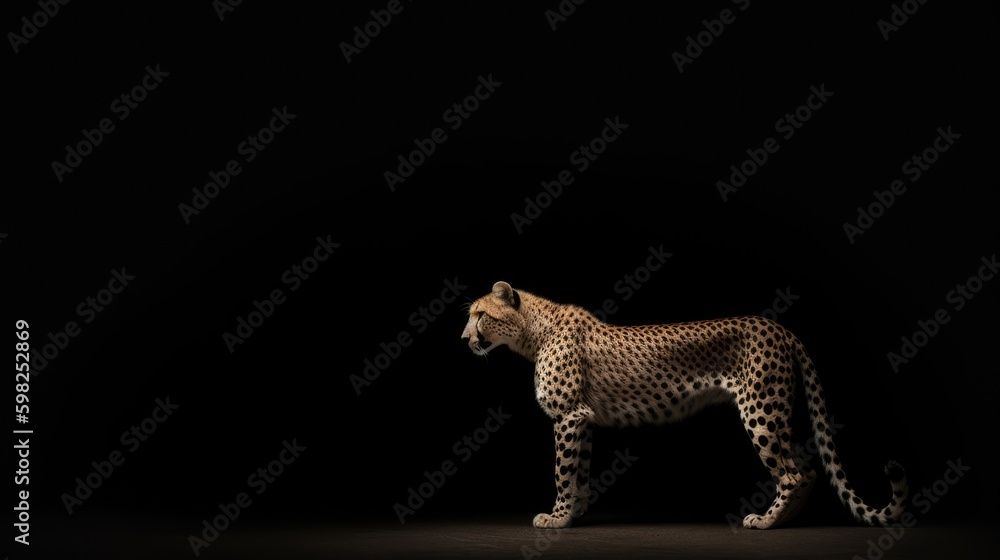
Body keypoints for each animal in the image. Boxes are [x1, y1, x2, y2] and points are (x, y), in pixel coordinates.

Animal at [460, 281, 908, 529]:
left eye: (480, 314)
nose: (464, 339)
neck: (532, 333)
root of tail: (778, 326)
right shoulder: (582, 419)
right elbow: (580, 473)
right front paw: (574, 515)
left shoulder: (568, 416)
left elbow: (563, 472)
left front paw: (556, 518)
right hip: (775, 413)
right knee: (809, 470)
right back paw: (788, 521)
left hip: (761, 410)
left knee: (794, 473)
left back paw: (766, 522)